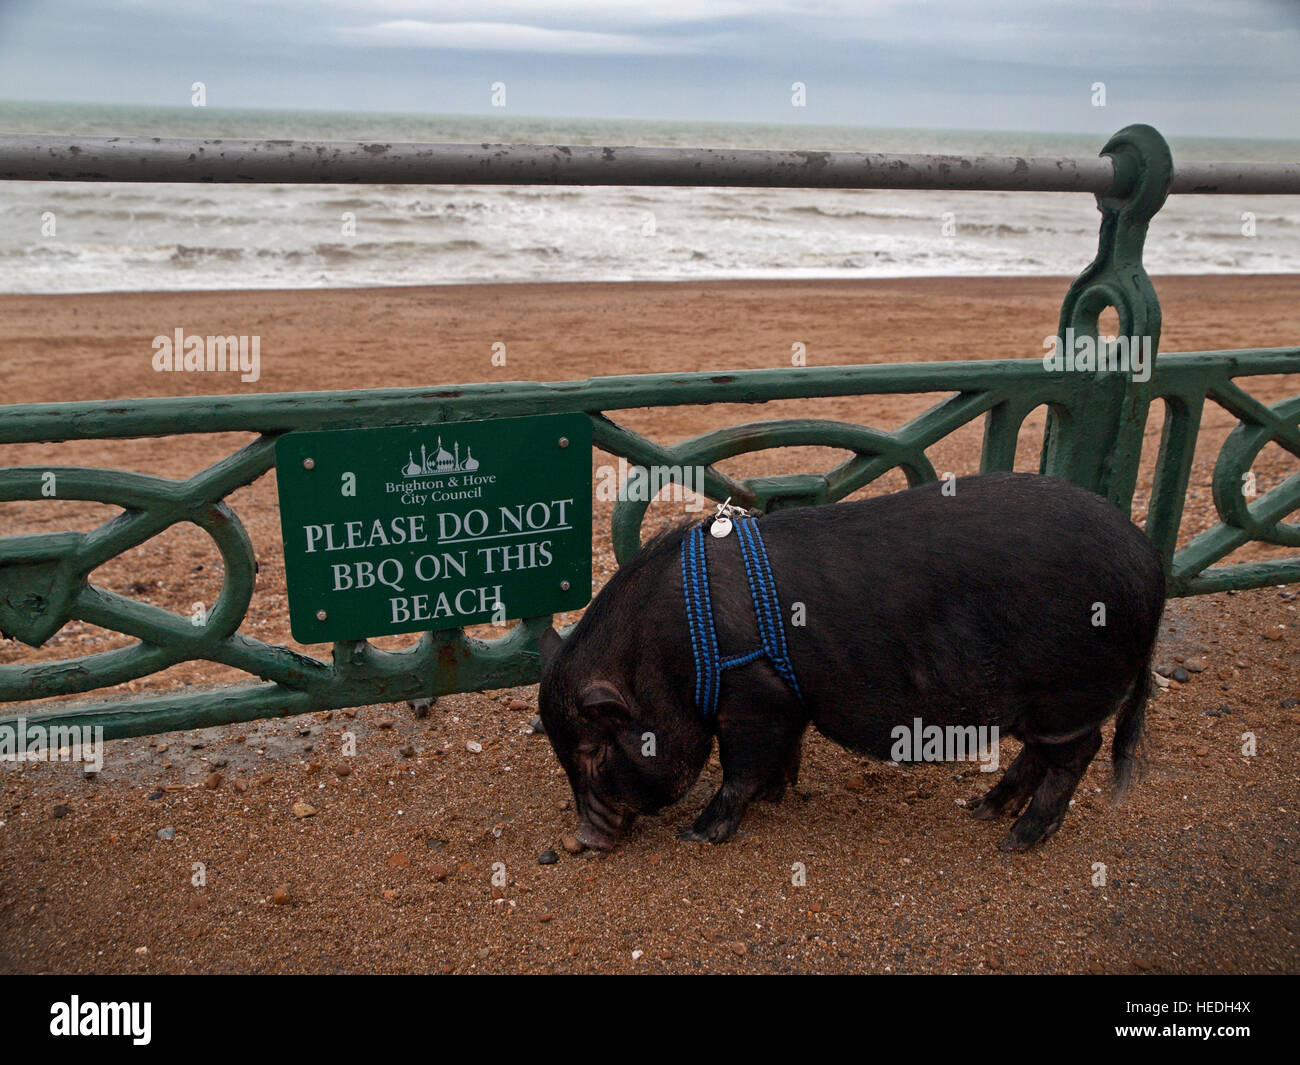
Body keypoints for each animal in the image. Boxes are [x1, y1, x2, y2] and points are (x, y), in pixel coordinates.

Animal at [537, 471, 1165, 853]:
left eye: (593, 751)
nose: (583, 840)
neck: (676, 653)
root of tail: (1148, 560)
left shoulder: (752, 697)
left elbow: (741, 770)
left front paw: (699, 835)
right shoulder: (786, 701)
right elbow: (777, 759)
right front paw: (779, 796)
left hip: (1071, 694)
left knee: (1075, 755)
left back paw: (1017, 839)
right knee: (1038, 755)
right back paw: (982, 810)